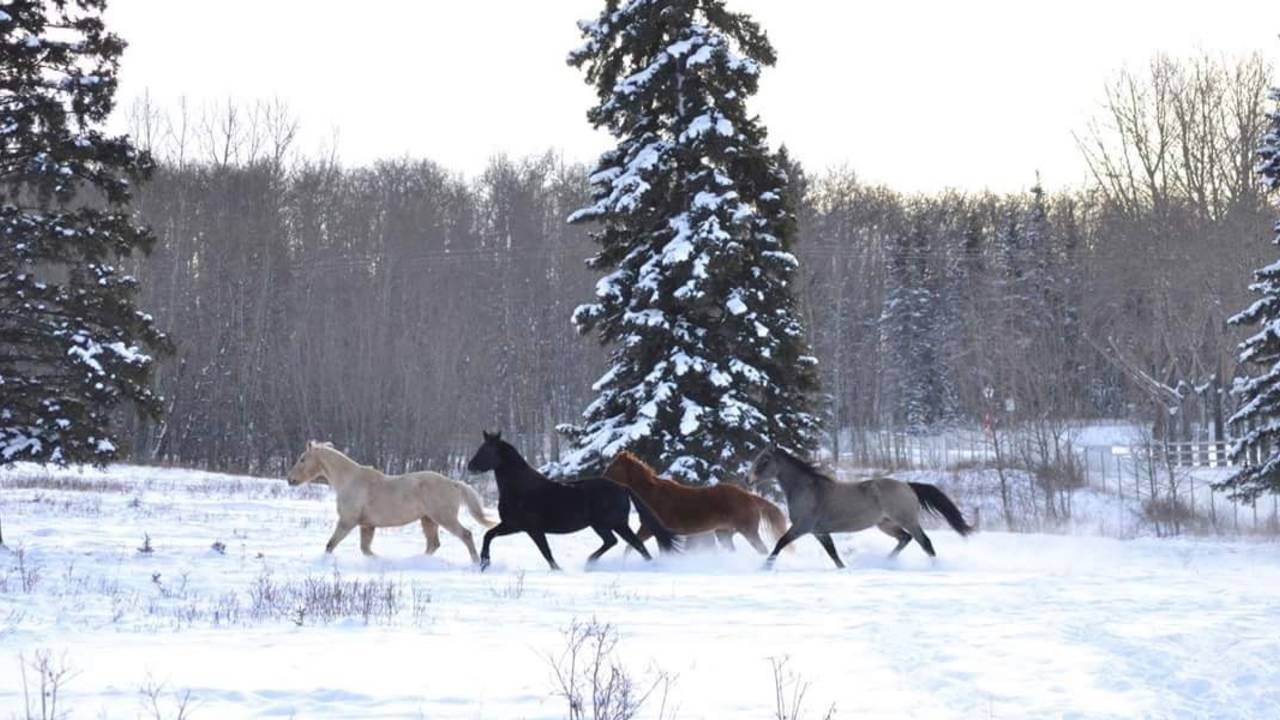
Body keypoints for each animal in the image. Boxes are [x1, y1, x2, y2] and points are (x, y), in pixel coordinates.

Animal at [286, 441, 496, 562]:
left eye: (302, 459)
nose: (290, 480)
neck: (350, 480)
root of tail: (454, 483)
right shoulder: (367, 525)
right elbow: (366, 549)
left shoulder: (347, 521)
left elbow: (330, 545)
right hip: (428, 520)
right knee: (433, 544)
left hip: (444, 518)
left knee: (465, 535)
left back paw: (477, 563)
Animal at [465, 431, 678, 571]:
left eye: (486, 450)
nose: (470, 466)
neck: (521, 488)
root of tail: (623, 487)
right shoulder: (513, 525)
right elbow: (489, 535)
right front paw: (484, 563)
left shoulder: (531, 529)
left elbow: (546, 552)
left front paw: (558, 570)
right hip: (606, 525)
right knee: (620, 543)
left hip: (613, 524)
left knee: (631, 544)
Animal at [602, 451, 790, 555]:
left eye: (613, 467)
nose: (601, 480)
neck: (653, 495)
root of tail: (748, 496)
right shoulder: (652, 531)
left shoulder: (650, 529)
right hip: (724, 534)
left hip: (748, 532)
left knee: (763, 550)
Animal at [749, 446, 973, 568]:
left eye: (765, 459)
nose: (748, 478)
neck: (808, 489)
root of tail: (908, 485)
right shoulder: (819, 532)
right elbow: (833, 554)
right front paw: (844, 568)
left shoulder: (802, 527)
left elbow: (780, 543)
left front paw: (764, 568)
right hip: (885, 524)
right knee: (905, 539)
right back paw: (886, 562)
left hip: (907, 520)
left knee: (924, 542)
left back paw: (935, 567)